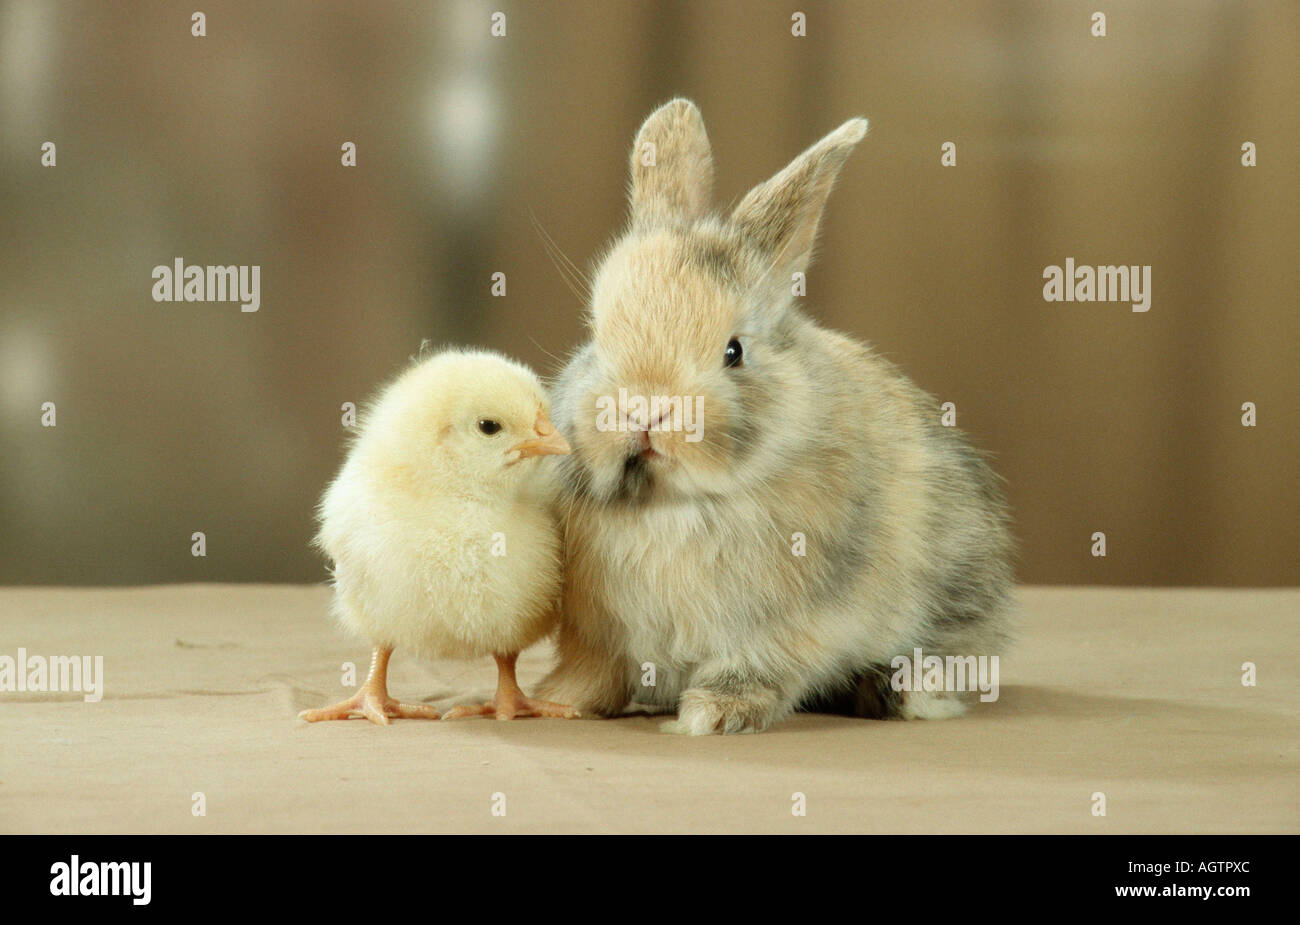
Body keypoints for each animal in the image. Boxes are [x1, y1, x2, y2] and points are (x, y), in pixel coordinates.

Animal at [537, 99, 1015, 734]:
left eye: (734, 351)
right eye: (595, 335)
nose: (643, 409)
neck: (672, 504)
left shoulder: (788, 628)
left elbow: (755, 666)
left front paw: (710, 715)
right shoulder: (597, 638)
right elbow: (592, 674)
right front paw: (554, 702)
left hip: (960, 586)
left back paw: (906, 693)